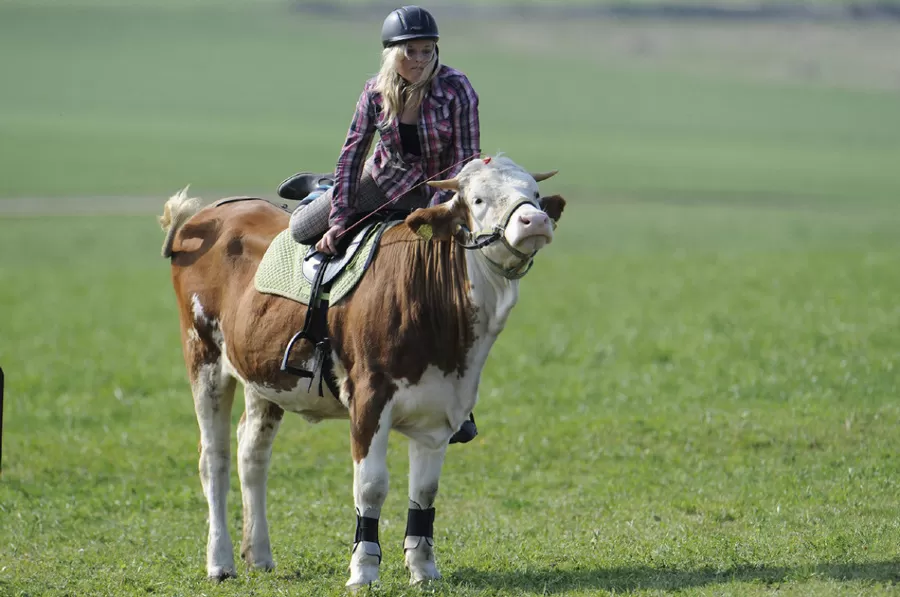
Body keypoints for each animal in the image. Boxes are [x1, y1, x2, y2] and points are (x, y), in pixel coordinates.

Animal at [155, 155, 564, 588]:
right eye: (479, 199)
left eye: (534, 193)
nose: (535, 220)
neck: (429, 294)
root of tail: (205, 216)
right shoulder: (370, 399)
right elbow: (370, 487)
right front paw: (364, 569)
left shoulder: (441, 408)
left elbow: (425, 491)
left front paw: (423, 569)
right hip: (204, 357)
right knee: (214, 458)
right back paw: (220, 562)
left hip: (263, 376)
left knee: (252, 454)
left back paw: (260, 555)